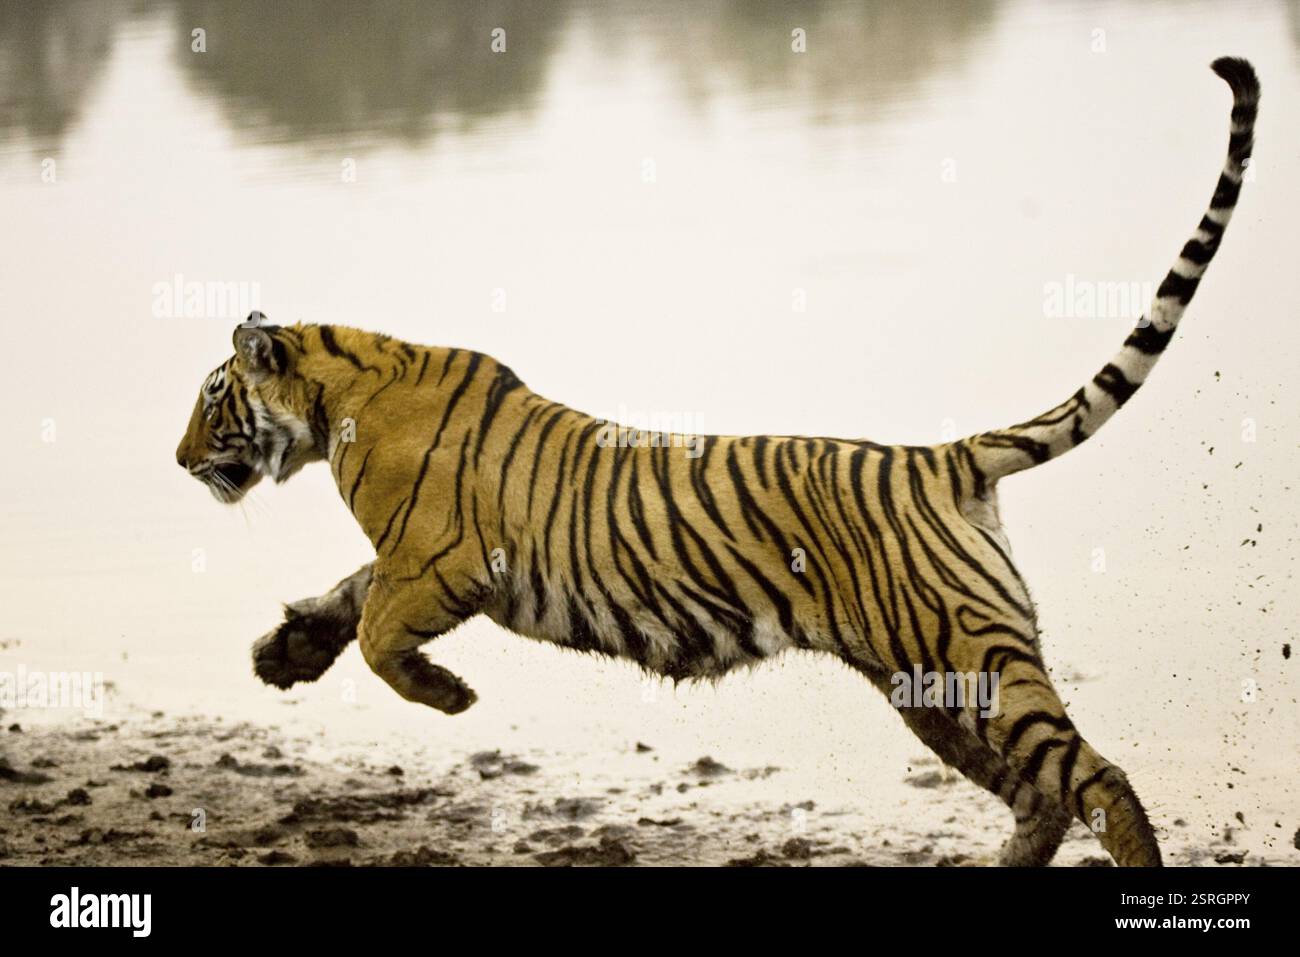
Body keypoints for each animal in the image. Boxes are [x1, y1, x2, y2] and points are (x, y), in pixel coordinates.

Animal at [175, 58, 1258, 867]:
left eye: (211, 397)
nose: (179, 459)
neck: (334, 397)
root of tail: (940, 460)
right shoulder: (410, 556)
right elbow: (347, 595)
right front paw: (283, 655)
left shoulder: (440, 559)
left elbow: (379, 634)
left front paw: (450, 696)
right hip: (933, 690)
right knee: (1041, 797)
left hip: (970, 659)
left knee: (1096, 781)